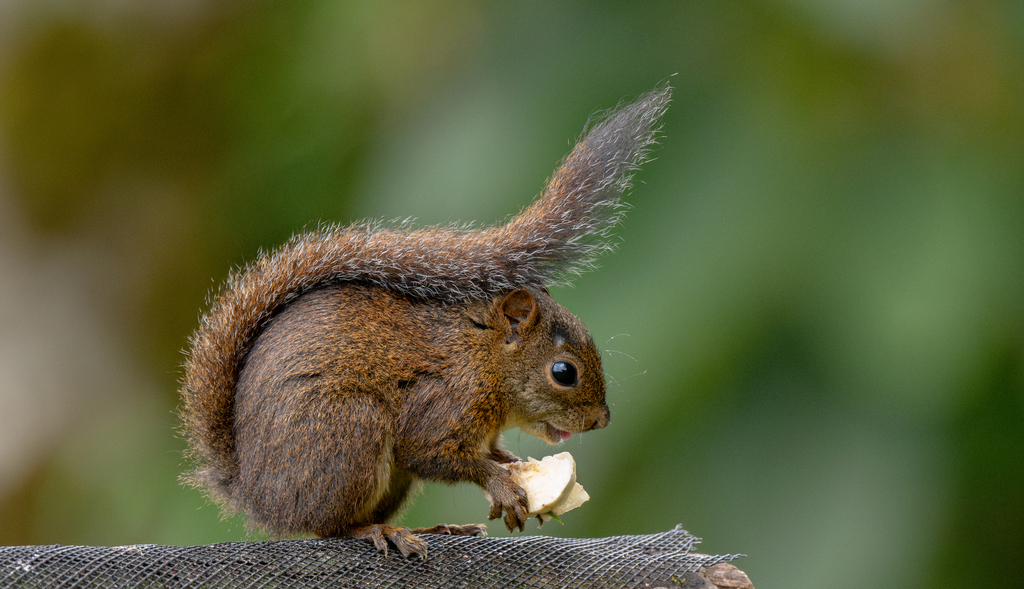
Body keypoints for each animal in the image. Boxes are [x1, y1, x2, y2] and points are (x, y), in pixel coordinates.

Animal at [179, 84, 671, 558]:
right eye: (564, 372)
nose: (601, 421)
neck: (485, 357)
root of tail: (258, 495)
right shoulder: (446, 397)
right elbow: (431, 452)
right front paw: (501, 483)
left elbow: (490, 453)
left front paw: (510, 467)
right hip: (350, 430)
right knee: (332, 527)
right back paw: (378, 531)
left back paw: (432, 527)